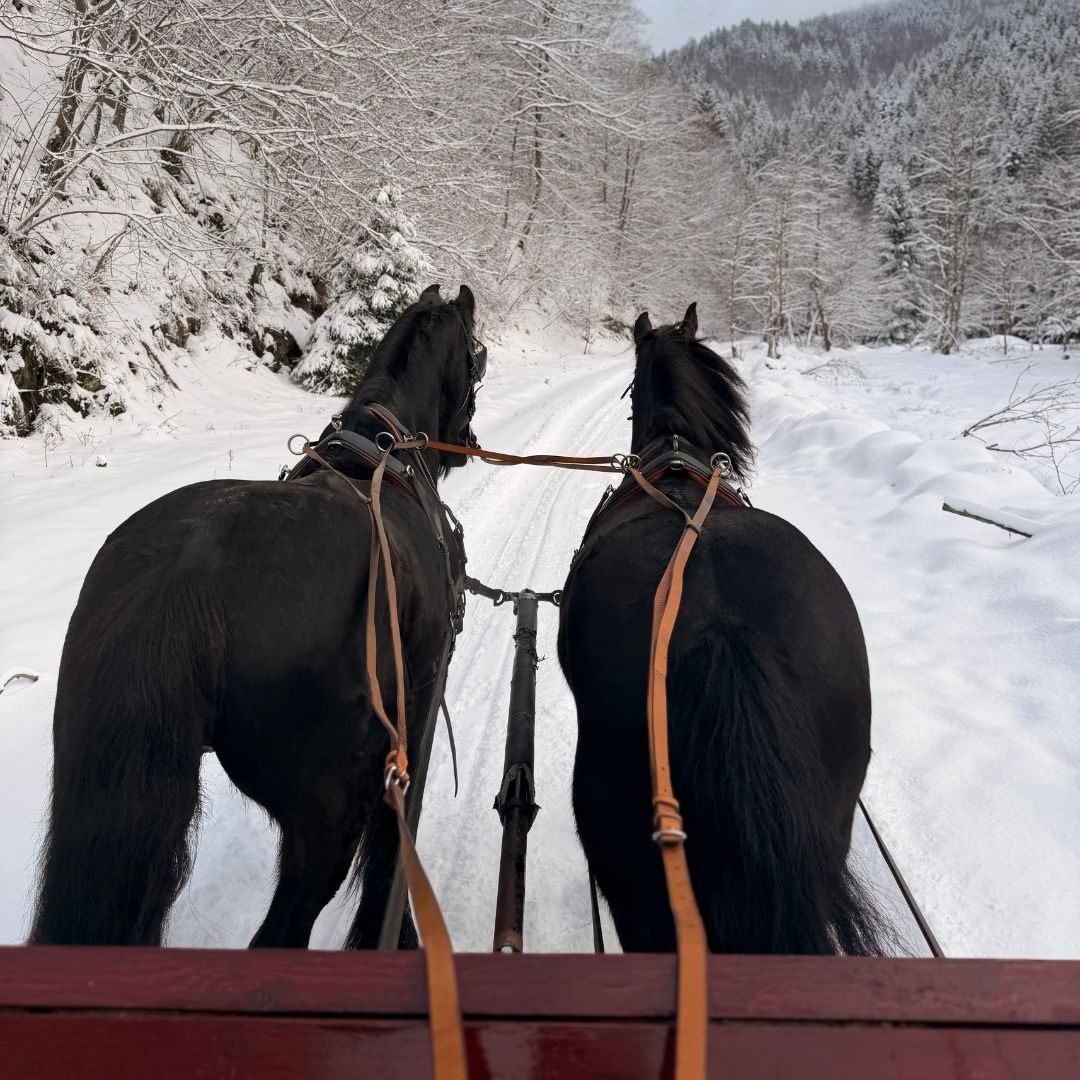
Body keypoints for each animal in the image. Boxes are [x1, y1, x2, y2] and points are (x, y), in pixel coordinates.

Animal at [31, 283, 483, 949]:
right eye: (477, 357)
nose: (468, 442)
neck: (383, 456)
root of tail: (186, 578)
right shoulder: (419, 711)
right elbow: (390, 857)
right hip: (325, 819)